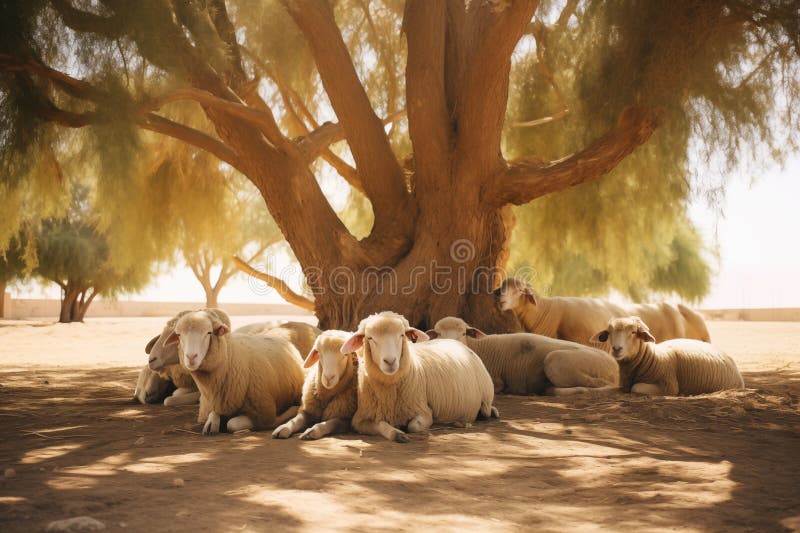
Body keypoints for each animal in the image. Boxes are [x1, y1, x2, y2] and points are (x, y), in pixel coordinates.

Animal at [166, 309, 305, 434]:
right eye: (179, 335)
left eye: (209, 332)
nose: (191, 357)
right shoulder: (215, 404)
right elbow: (213, 415)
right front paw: (211, 424)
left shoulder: (262, 413)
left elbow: (232, 424)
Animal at [344, 311, 498, 443]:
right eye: (369, 338)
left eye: (402, 335)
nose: (390, 361)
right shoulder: (360, 420)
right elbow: (381, 425)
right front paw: (397, 433)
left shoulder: (424, 411)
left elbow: (413, 426)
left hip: (486, 393)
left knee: (485, 410)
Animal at [428, 316, 619, 396]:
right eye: (438, 334)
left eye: (463, 333)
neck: (477, 347)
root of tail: (614, 366)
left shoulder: (496, 379)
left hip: (556, 361)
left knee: (598, 385)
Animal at [590, 316, 744, 395]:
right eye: (608, 333)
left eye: (633, 332)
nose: (616, 349)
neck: (651, 358)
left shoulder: (668, 386)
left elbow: (636, 388)